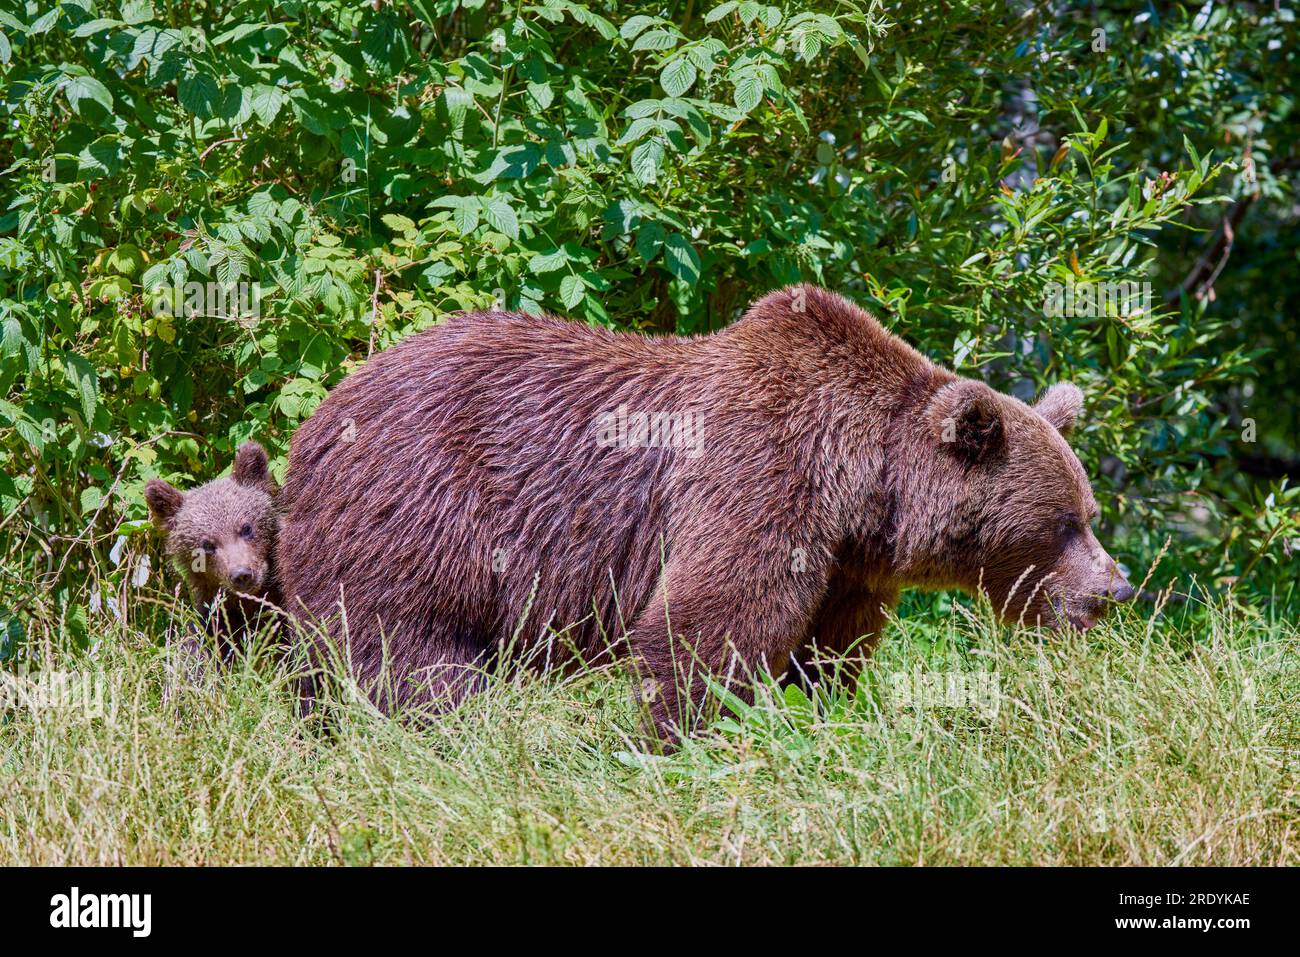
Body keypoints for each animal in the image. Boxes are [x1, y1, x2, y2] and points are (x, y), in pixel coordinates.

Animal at [276, 285, 1134, 741]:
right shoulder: (760, 480)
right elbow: (712, 622)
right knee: (408, 654)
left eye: (1090, 510)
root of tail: (313, 424)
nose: (1115, 588)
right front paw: (683, 733)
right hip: (419, 514)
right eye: (1066, 521)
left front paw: (816, 711)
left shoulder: (845, 566)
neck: (866, 489)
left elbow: (824, 653)